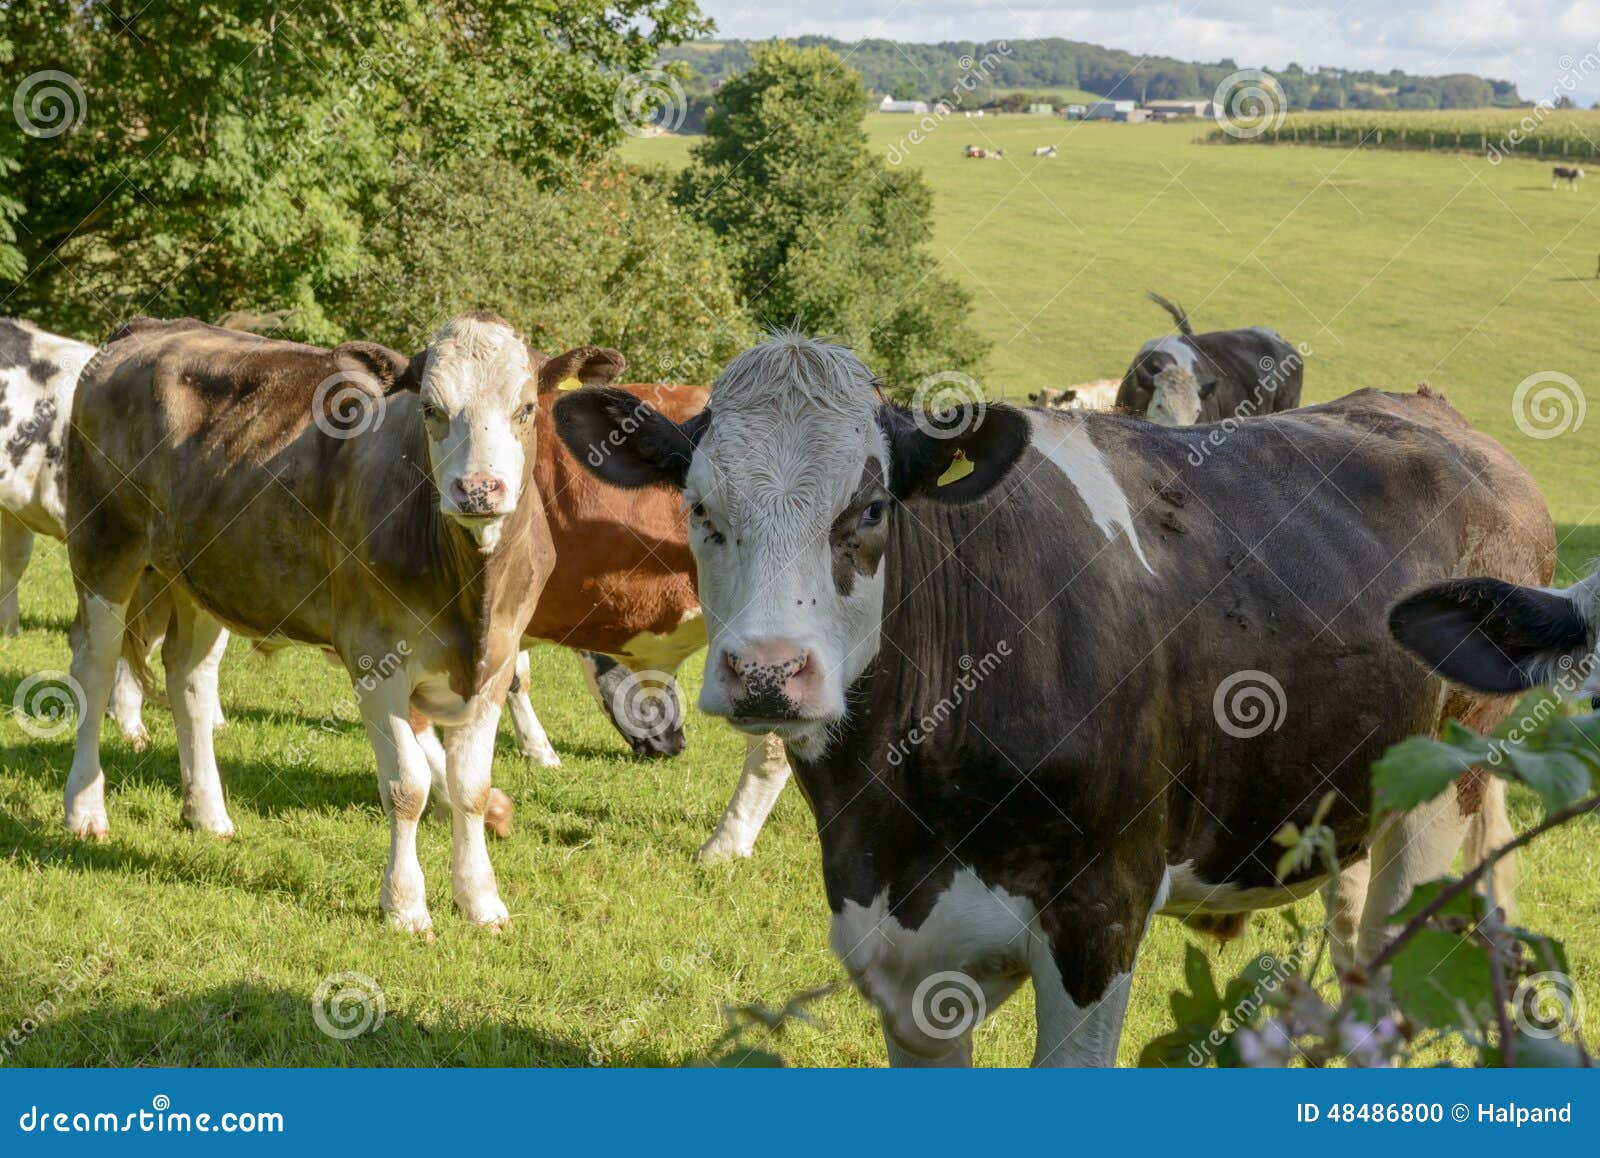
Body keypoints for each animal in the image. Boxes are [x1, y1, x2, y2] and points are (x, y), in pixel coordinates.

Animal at [64, 312, 625, 934]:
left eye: (527, 407)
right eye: (429, 409)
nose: (478, 490)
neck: (471, 595)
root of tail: (150, 327)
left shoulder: (497, 660)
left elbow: (471, 787)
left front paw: (481, 900)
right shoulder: (374, 656)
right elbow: (408, 786)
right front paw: (405, 905)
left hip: (202, 576)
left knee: (189, 680)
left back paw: (207, 813)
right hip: (103, 549)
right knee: (93, 669)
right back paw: (85, 810)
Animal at [555, 333, 1551, 1066]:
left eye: (870, 510)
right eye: (699, 508)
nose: (766, 671)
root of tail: (1434, 413)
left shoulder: (1099, 917)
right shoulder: (890, 946)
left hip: (1445, 793)